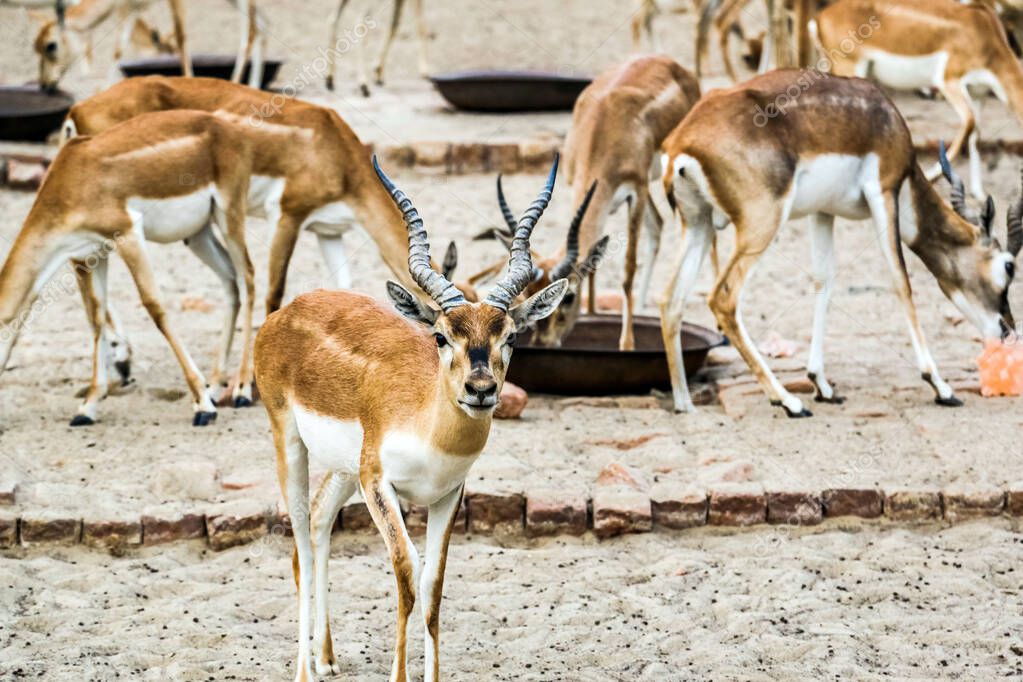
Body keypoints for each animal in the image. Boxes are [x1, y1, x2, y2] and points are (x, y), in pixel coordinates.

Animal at [0, 109, 278, 427]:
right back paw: (217, 386)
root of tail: (228, 126)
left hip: (228, 215)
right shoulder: (90, 255)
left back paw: (241, 390)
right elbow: (96, 318)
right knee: (230, 280)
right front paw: (87, 407)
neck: (71, 179)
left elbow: (154, 306)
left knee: (248, 276)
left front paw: (202, 407)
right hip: (198, 234)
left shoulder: (128, 235)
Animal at [253, 157, 567, 682]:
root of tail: (285, 312)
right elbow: (406, 571)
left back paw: (326, 657)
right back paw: (304, 670)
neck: (430, 427)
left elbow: (433, 584)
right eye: (440, 335)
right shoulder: (379, 484)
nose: (480, 390)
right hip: (289, 442)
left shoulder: (447, 495)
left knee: (318, 522)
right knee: (299, 540)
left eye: (510, 336)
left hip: (344, 470)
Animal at [563, 54, 701, 350]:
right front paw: (592, 313)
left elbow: (627, 271)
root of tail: (670, 62)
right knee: (658, 225)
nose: (544, 341)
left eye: (567, 298)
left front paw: (627, 344)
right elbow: (593, 261)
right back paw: (641, 305)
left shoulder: (634, 193)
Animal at [659, 70, 1020, 416]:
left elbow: (824, 281)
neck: (885, 120)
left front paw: (820, 384)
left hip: (698, 224)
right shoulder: (884, 193)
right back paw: (788, 402)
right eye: (1008, 267)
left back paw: (683, 402)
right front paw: (940, 386)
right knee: (723, 298)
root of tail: (683, 142)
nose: (1008, 331)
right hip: (762, 224)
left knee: (671, 299)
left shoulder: (823, 212)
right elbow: (901, 281)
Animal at [813, 0, 1023, 202]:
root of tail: (820, 17)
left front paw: (978, 193)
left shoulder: (978, 93)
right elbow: (969, 123)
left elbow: (975, 136)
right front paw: (931, 176)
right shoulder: (947, 80)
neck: (985, 33)